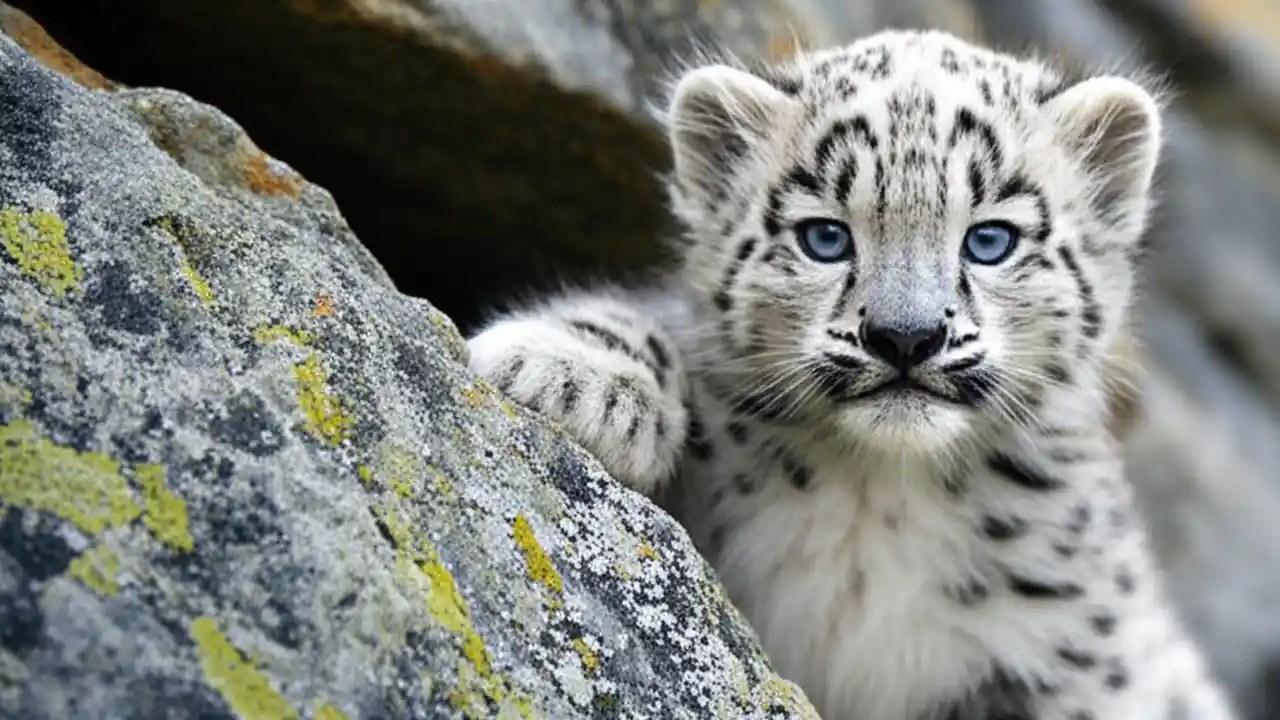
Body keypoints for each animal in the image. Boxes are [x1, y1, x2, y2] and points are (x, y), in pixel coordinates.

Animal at [466, 29, 1236, 720]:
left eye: (991, 240)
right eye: (825, 237)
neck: (880, 495)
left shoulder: (1065, 659)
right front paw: (568, 374)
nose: (906, 336)